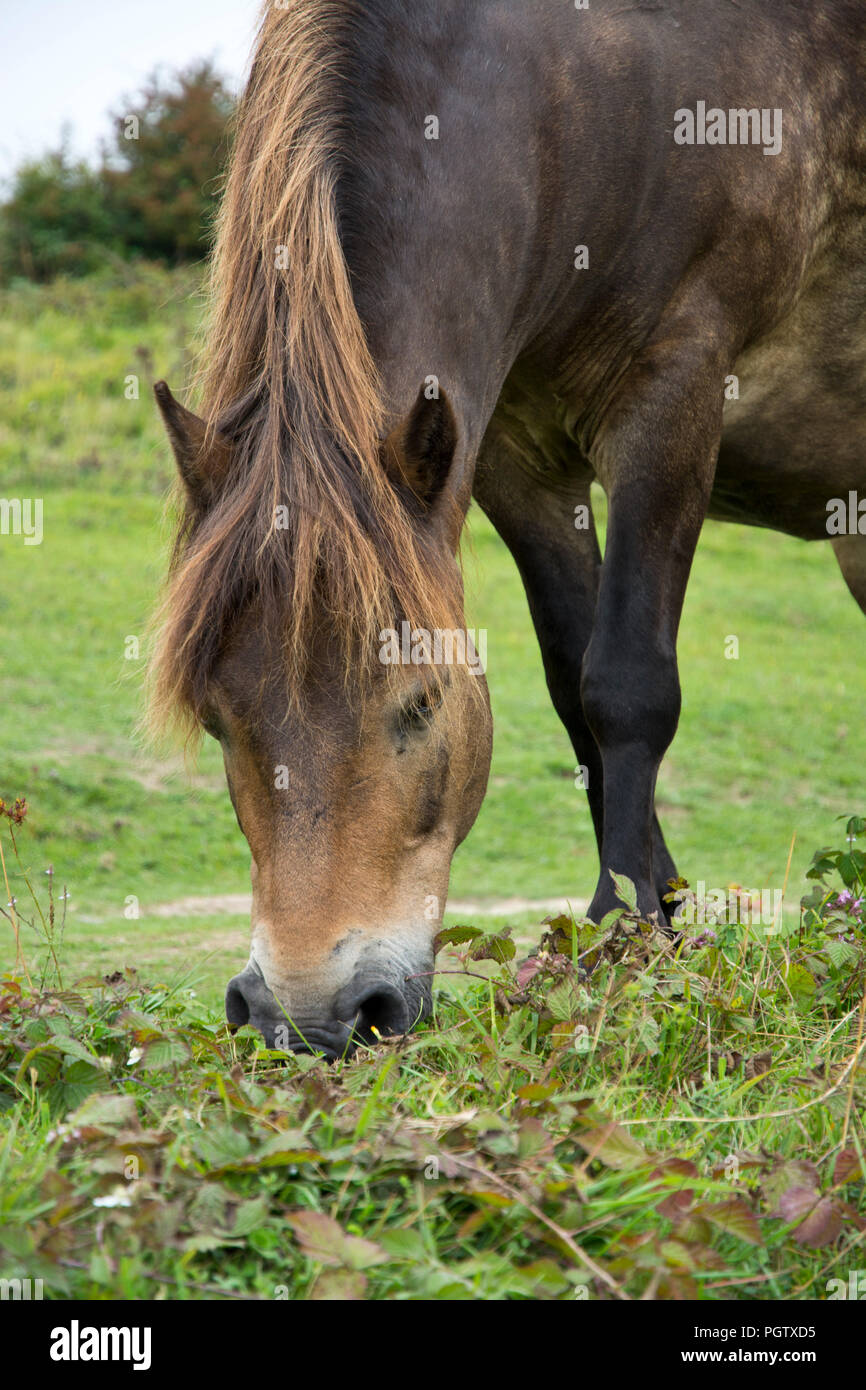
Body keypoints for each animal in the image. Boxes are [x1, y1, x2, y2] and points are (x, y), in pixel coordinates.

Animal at [149, 0, 866, 1056]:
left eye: (420, 704)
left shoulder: (675, 391)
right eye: (216, 719)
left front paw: (625, 943)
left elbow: (628, 687)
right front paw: (651, 922)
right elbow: (576, 693)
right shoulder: (513, 456)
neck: (578, 93)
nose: (311, 1020)